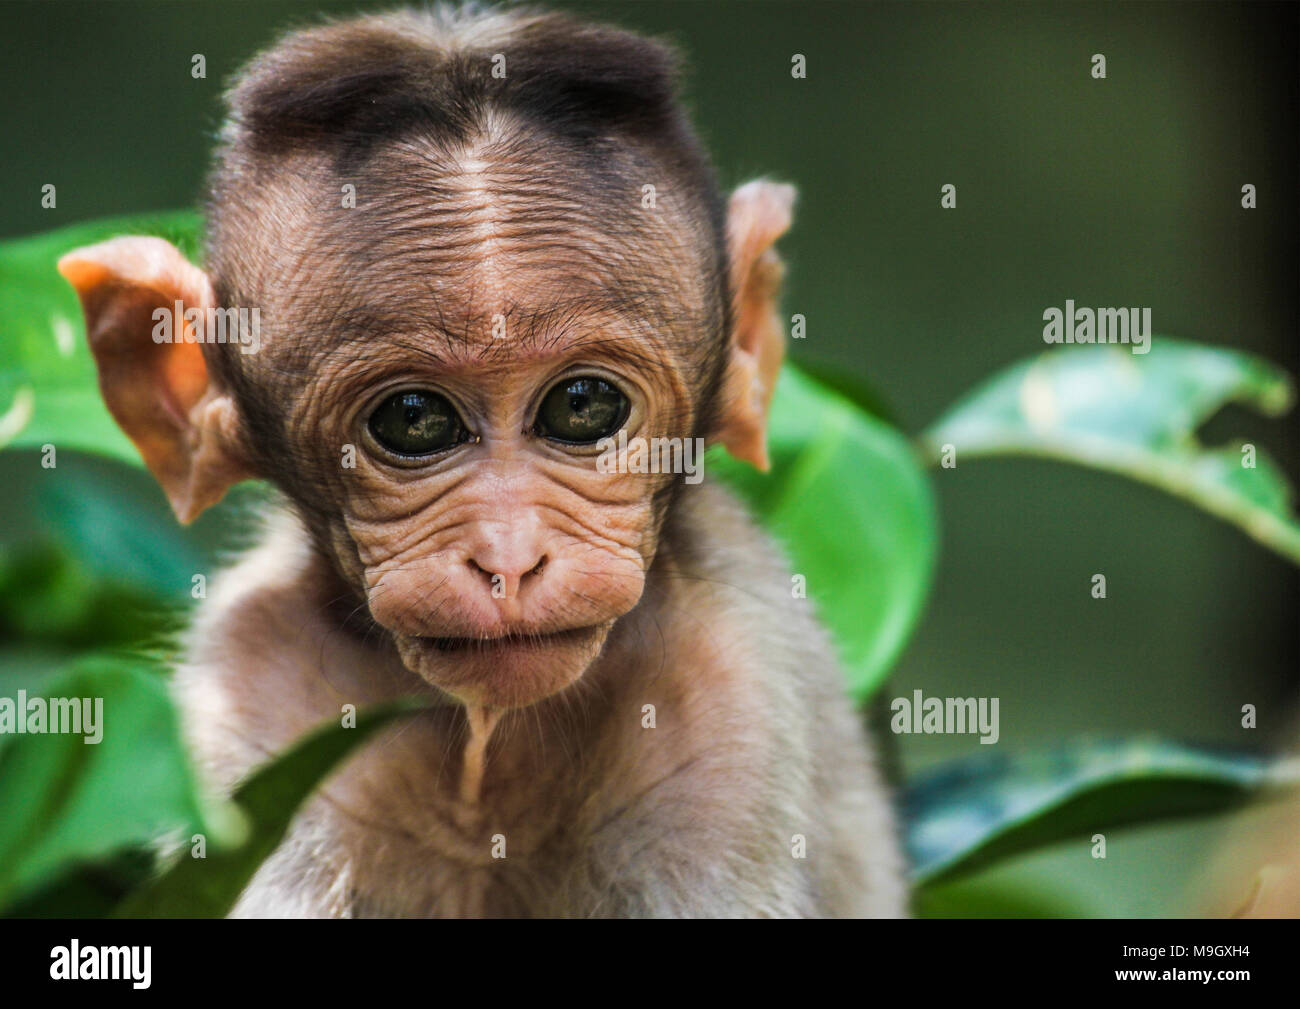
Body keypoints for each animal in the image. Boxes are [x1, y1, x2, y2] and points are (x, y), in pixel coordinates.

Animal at [57, 3, 907, 918]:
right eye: (414, 419)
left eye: (582, 405)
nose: (509, 559)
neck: (487, 745)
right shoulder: (246, 697)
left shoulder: (728, 703)